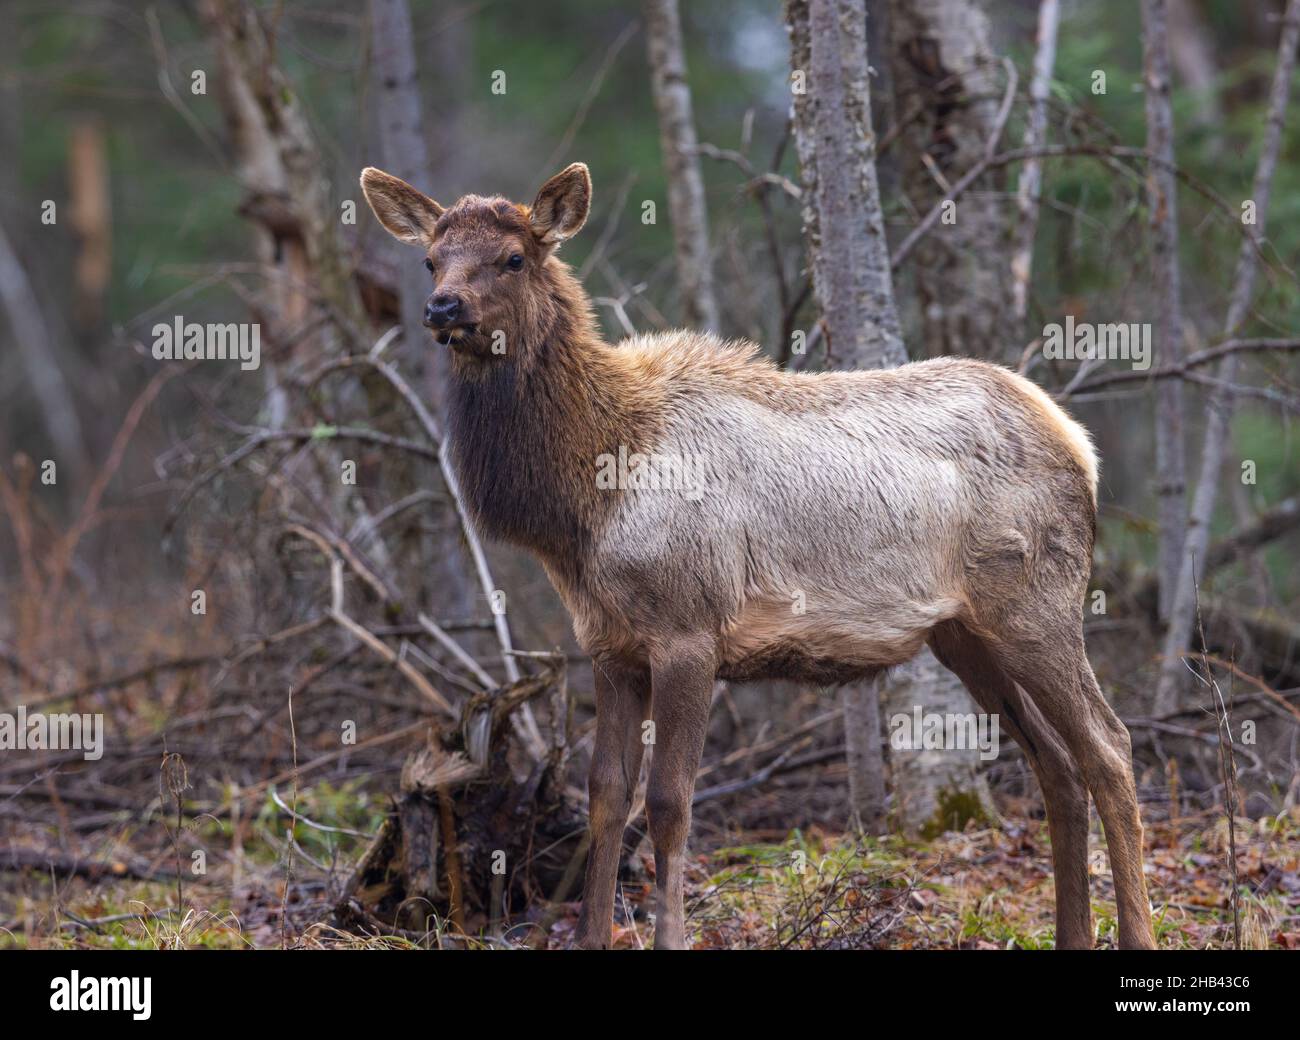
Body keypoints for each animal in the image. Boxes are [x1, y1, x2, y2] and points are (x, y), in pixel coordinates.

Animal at [359, 161, 1158, 951]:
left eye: (514, 257)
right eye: (430, 257)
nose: (442, 307)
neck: (586, 499)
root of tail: (1080, 445)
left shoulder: (688, 632)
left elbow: (670, 801)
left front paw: (671, 935)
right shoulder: (608, 646)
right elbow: (606, 796)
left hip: (1038, 605)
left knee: (1110, 747)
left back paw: (1137, 933)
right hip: (965, 634)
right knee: (1058, 765)